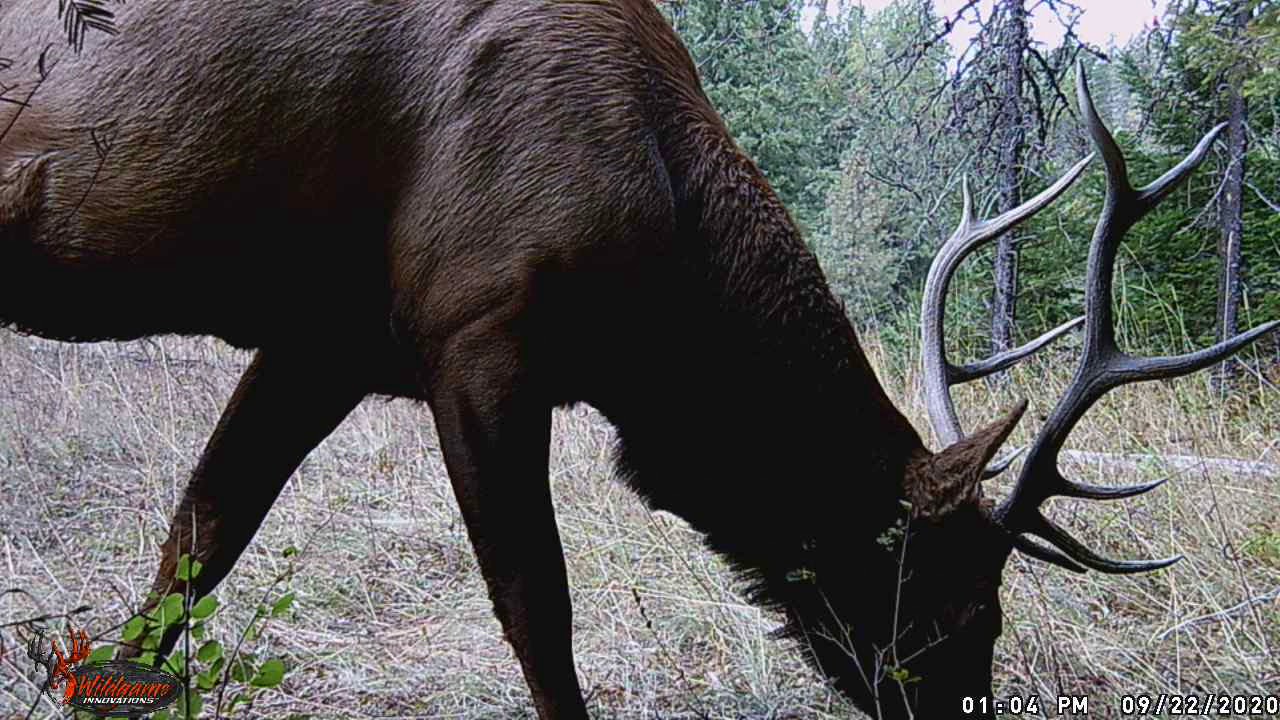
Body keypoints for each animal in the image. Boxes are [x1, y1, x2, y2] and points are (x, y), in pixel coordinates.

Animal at [1, 1, 1274, 717]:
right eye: (962, 601)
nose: (966, 709)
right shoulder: (478, 328)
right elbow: (538, 611)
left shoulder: (327, 338)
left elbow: (195, 546)